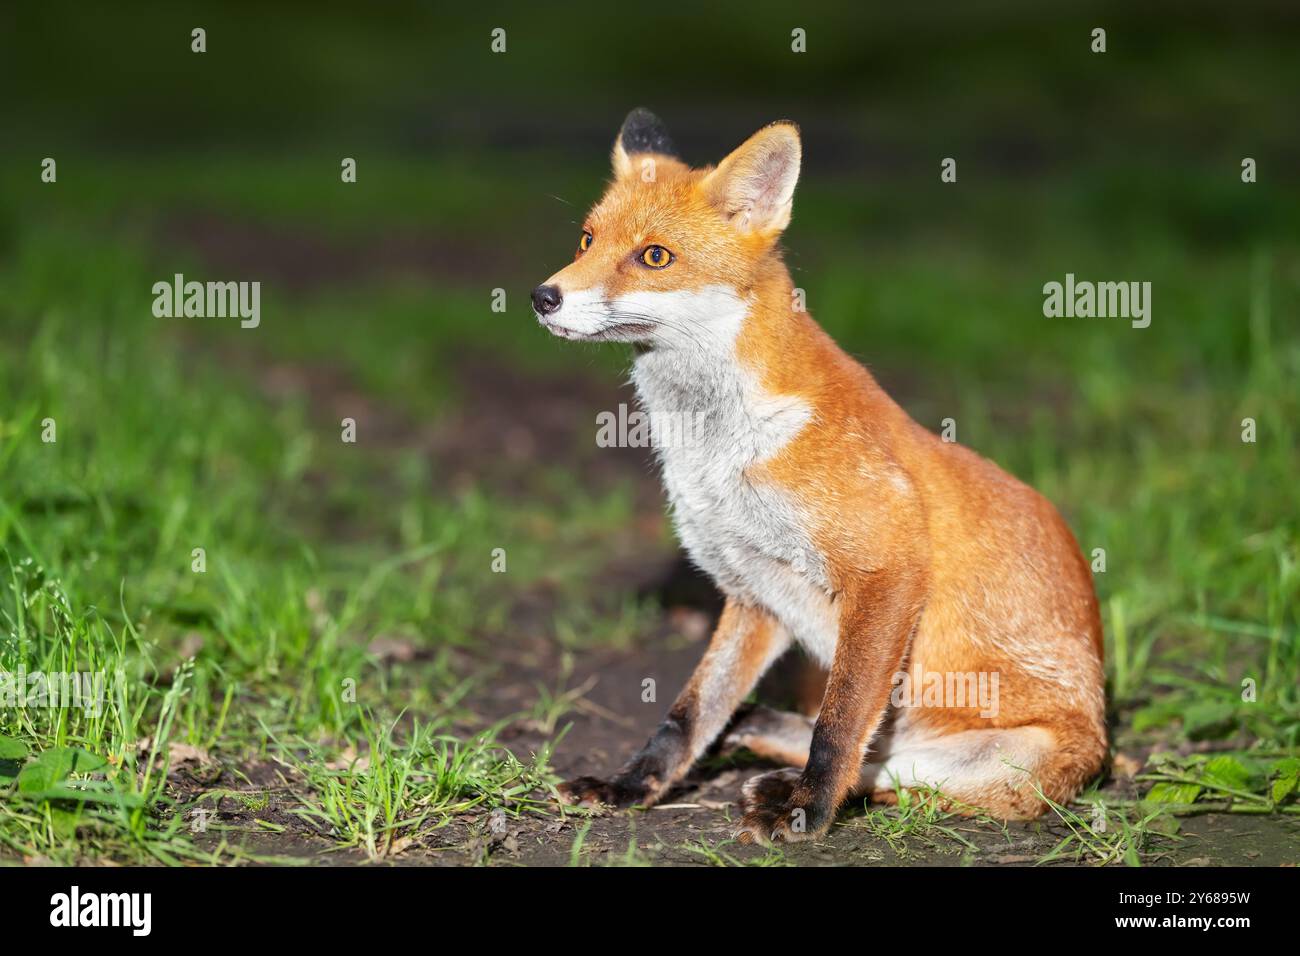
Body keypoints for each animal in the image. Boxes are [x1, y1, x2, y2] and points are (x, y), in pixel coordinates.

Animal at [532, 108, 1106, 843]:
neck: (717, 446)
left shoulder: (888, 571)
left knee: (891, 771)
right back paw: (766, 750)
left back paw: (789, 787)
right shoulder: (752, 589)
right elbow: (690, 714)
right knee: (852, 746)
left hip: (1010, 762)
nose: (543, 296)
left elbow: (839, 723)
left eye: (654, 256)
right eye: (587, 239)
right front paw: (632, 786)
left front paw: (809, 809)